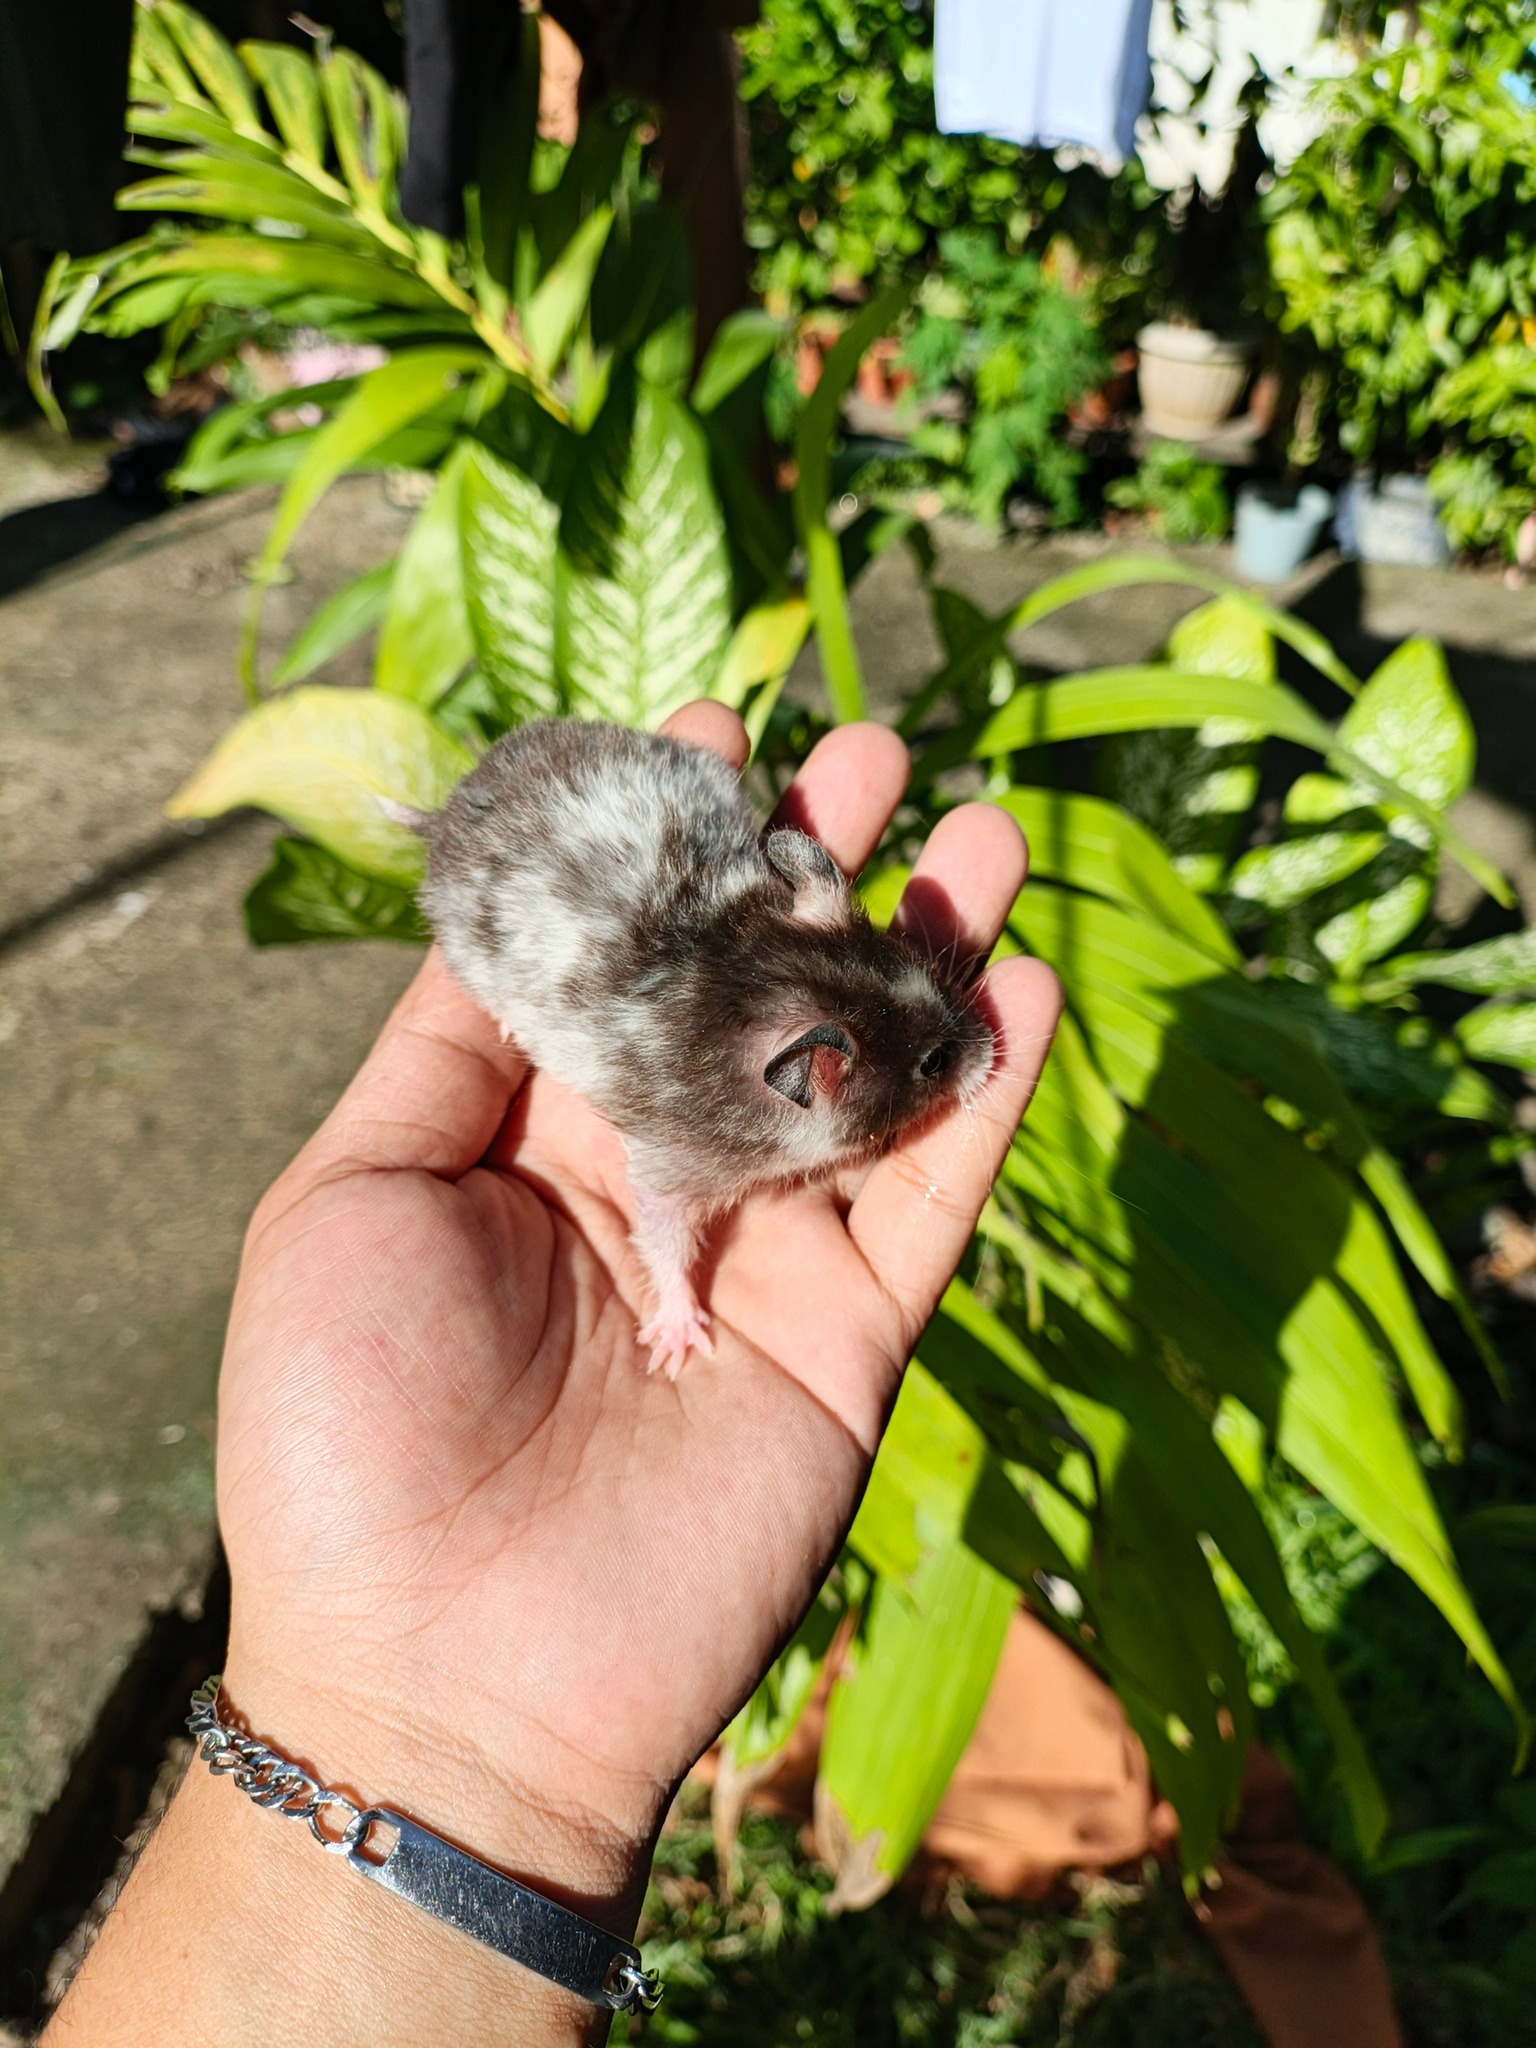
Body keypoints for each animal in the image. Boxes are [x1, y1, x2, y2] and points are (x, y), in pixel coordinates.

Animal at [406, 718, 994, 1375]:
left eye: (930, 976)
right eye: (932, 1063)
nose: (995, 1052)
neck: (742, 984)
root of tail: (443, 815)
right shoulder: (672, 1171)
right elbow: (665, 1242)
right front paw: (680, 1345)